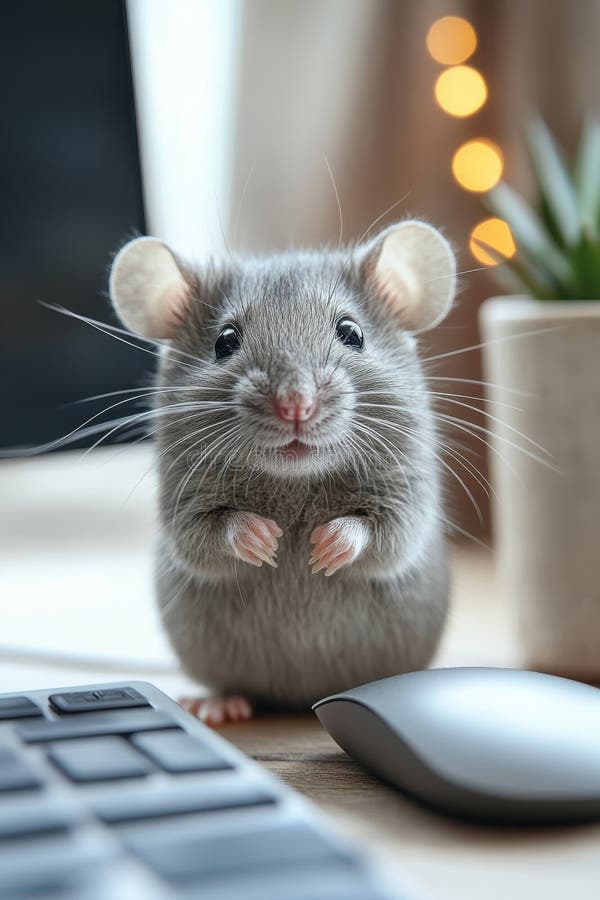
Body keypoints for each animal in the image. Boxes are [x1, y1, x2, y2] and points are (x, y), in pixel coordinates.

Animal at [109, 220, 456, 725]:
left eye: (351, 332)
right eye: (225, 342)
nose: (295, 405)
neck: (296, 478)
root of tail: (302, 700)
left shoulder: (405, 490)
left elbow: (386, 534)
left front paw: (326, 546)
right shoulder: (183, 499)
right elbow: (204, 536)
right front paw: (262, 539)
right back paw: (219, 704)